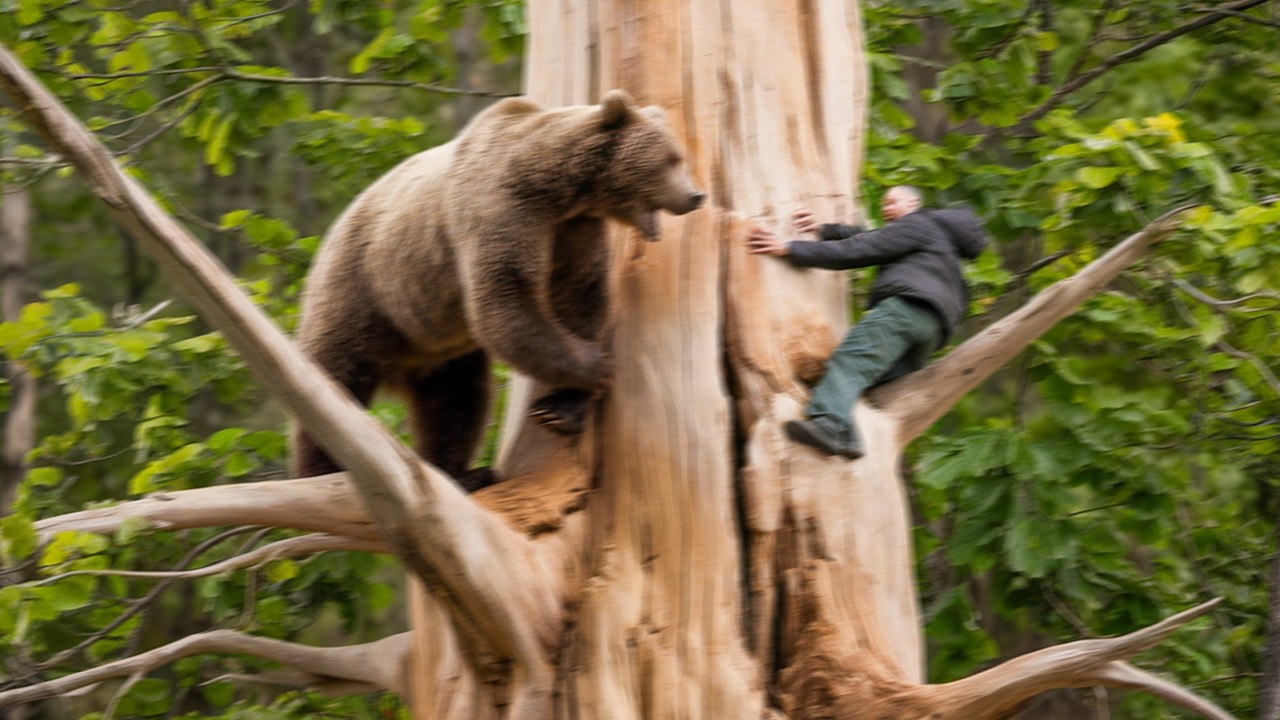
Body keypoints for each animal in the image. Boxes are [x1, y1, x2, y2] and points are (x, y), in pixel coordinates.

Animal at [291, 89, 705, 491]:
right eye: (669, 160)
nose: (695, 196)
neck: (559, 188)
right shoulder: (501, 207)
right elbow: (505, 295)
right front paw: (594, 366)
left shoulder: (574, 230)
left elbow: (581, 297)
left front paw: (561, 407)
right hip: (364, 286)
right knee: (338, 376)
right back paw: (325, 473)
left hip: (437, 348)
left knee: (456, 399)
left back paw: (462, 473)